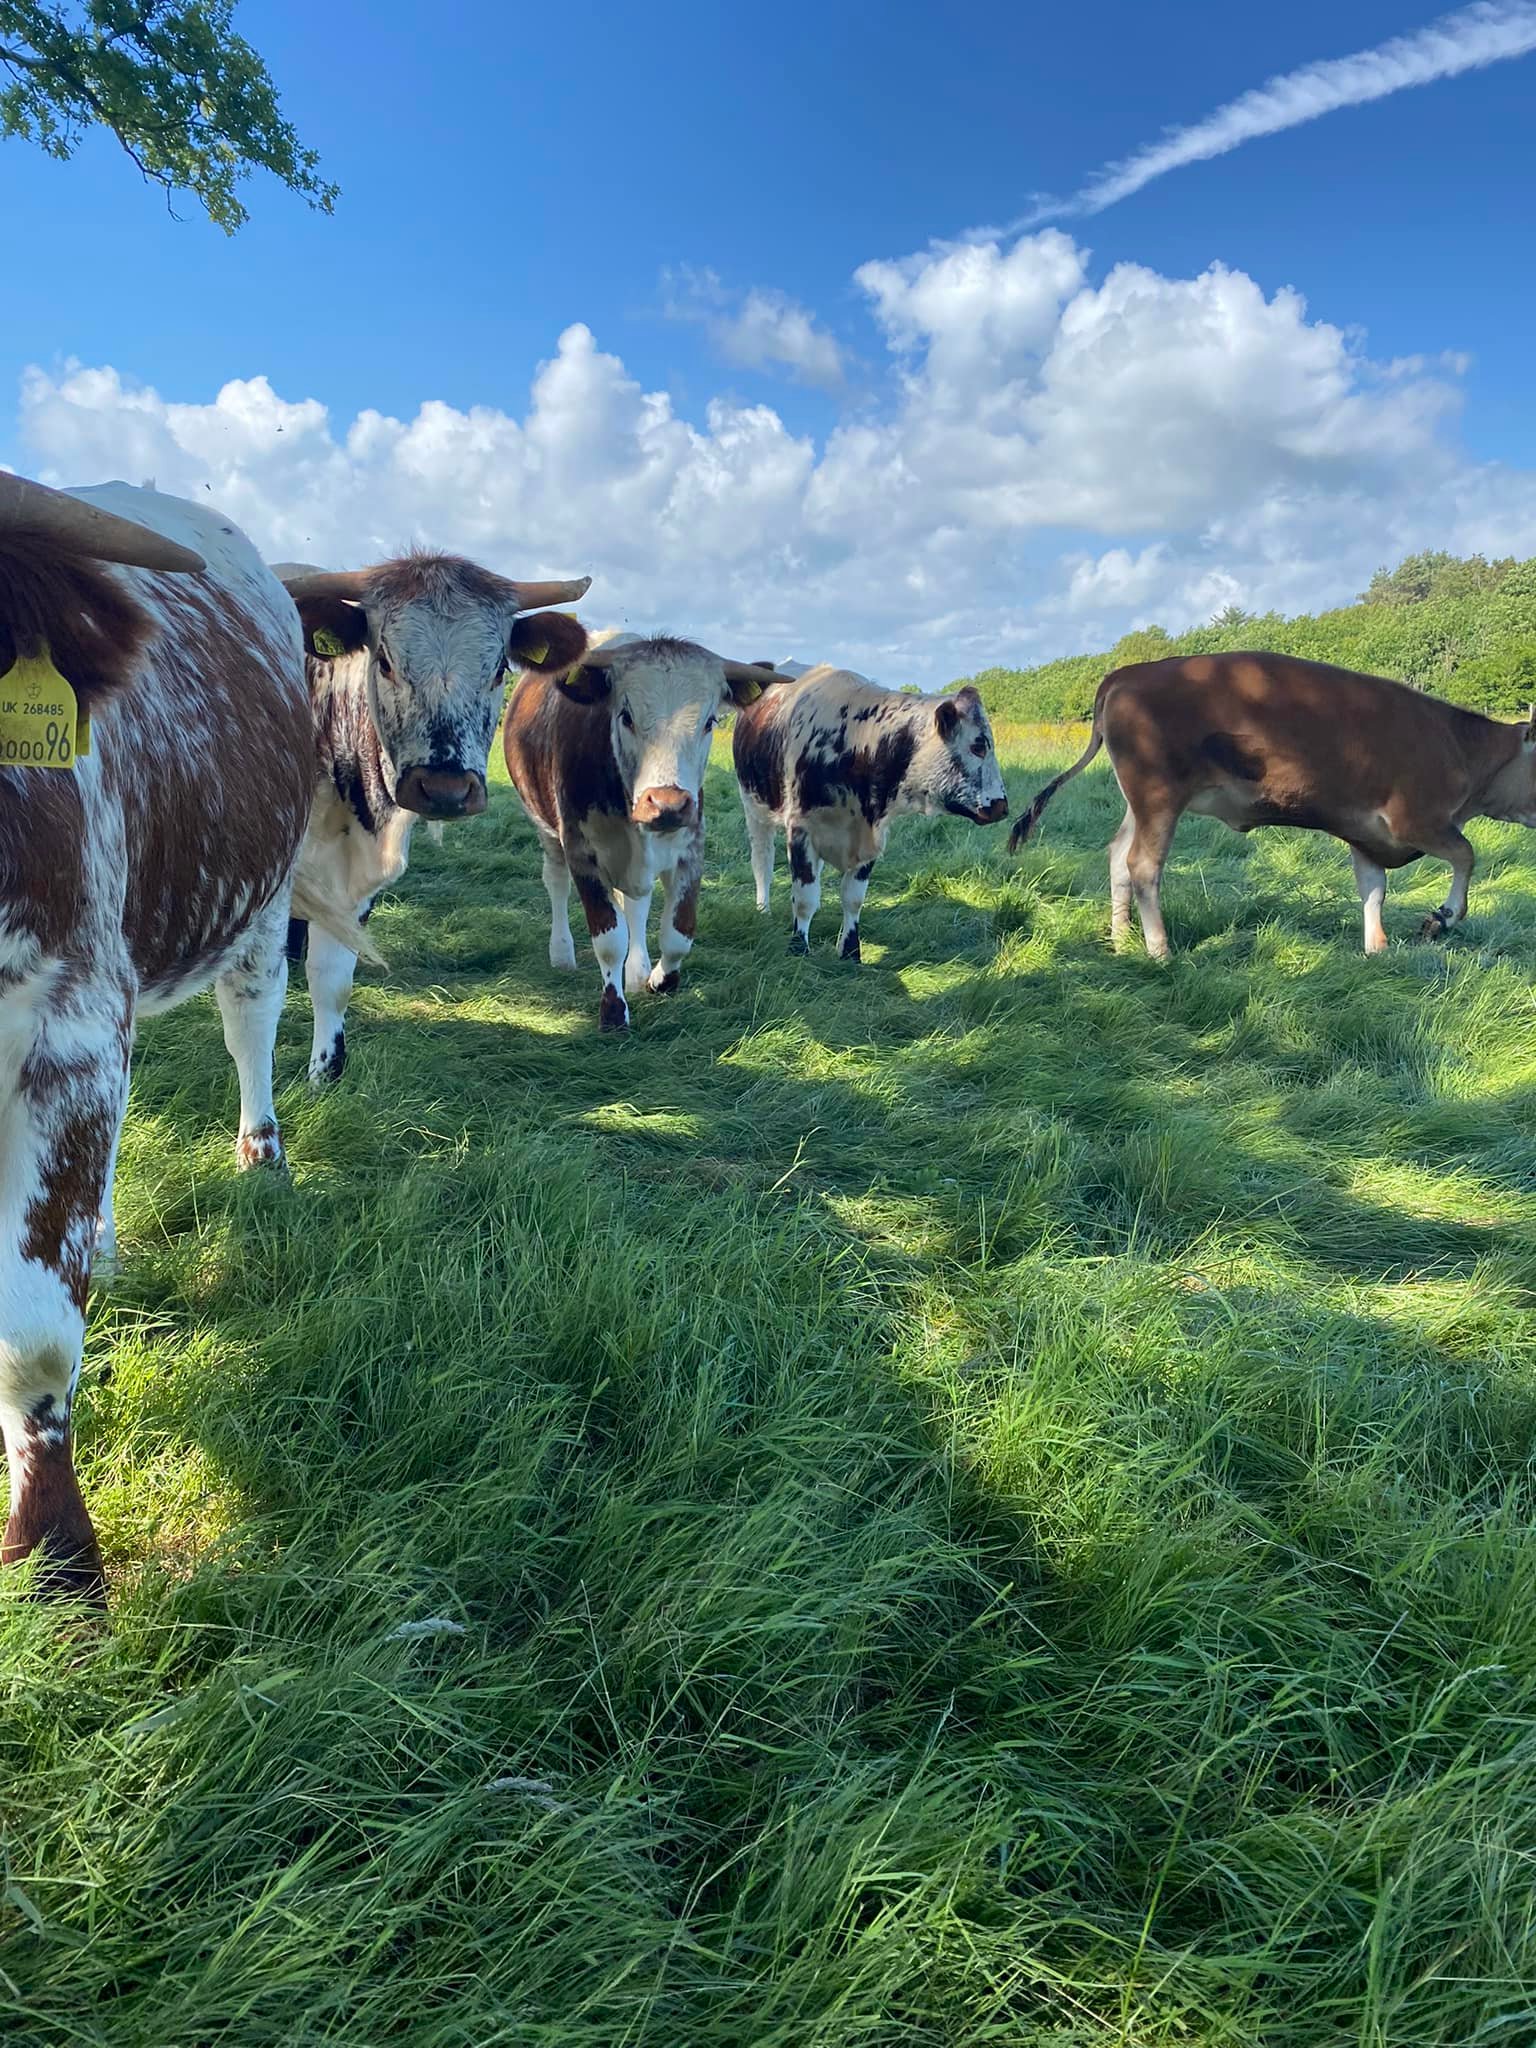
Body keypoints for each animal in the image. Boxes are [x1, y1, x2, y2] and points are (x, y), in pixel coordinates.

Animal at [0, 474, 357, 1601]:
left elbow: (32, 1334)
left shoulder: (67, 1027)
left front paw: (57, 1564)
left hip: (258, 902)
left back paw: (262, 1156)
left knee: (253, 1018)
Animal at [271, 557, 591, 1082]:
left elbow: (332, 975)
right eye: (384, 661)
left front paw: (325, 1073)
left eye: (499, 668)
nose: (445, 789)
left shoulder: (354, 885)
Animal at [502, 631, 780, 1031]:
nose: (667, 803)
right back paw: (562, 953)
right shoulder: (581, 852)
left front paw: (659, 980)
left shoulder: (690, 850)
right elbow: (609, 939)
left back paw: (637, 971)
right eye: (625, 715)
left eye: (710, 721)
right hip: (547, 832)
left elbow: (678, 934)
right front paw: (613, 1011)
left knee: (635, 905)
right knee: (556, 882)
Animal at [733, 665, 1009, 959]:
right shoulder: (801, 831)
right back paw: (763, 909)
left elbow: (853, 898)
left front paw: (851, 951)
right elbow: (805, 897)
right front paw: (798, 948)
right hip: (755, 812)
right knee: (762, 862)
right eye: (978, 746)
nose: (1002, 806)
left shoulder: (871, 839)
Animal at [1007, 651, 1536, 958]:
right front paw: (1442, 917)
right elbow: (1467, 854)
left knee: (1118, 856)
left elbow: (1373, 891)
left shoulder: (1365, 833)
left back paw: (1120, 941)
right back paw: (1160, 951)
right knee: (1142, 866)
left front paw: (1377, 950)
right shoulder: (1418, 820)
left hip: (1137, 804)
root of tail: (1125, 673)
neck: (1458, 745)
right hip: (1159, 798)